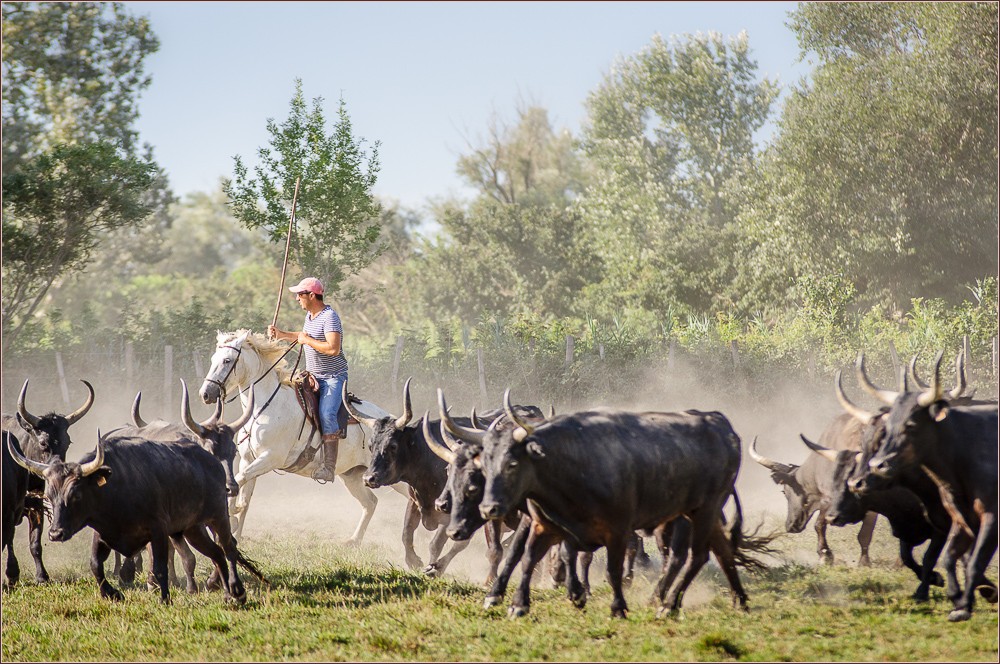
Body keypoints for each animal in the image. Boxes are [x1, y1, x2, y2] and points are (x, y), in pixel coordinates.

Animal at [8, 430, 250, 608]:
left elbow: (159, 567)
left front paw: (165, 599)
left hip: (218, 516)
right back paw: (228, 595)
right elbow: (95, 565)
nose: (55, 533)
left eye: (75, 495)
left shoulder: (158, 531)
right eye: (50, 495)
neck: (115, 490)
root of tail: (213, 462)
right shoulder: (103, 533)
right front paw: (112, 593)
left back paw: (237, 591)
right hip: (193, 529)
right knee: (216, 553)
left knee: (229, 548)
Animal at [197, 330, 404, 544]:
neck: (265, 406)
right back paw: (353, 541)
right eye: (213, 359)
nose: (205, 394)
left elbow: (239, 480)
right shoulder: (248, 460)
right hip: (352, 475)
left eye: (227, 360)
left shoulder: (271, 458)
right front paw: (235, 531)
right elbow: (245, 496)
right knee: (370, 502)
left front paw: (231, 513)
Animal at [472, 400, 752, 624]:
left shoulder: (617, 529)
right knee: (721, 550)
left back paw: (667, 604)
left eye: (512, 463)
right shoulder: (547, 526)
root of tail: (722, 425)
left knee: (693, 555)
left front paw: (617, 607)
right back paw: (739, 600)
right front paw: (518, 603)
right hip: (704, 513)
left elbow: (611, 569)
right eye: (484, 463)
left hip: (701, 511)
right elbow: (528, 557)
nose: (488, 508)